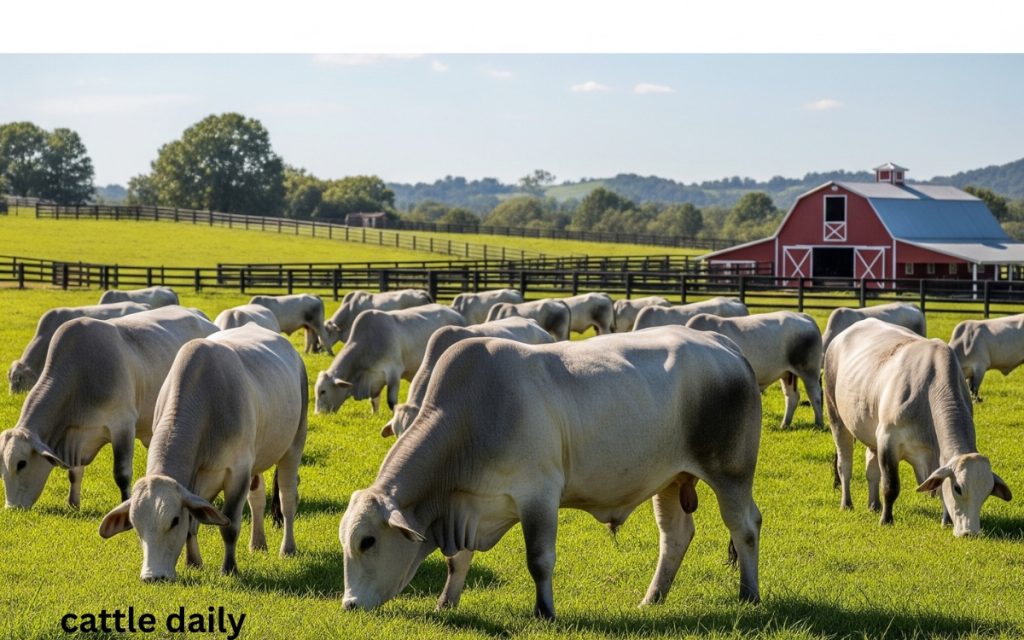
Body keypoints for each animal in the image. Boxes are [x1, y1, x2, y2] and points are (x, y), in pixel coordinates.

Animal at [98, 324, 308, 581]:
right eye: (135, 525)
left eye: (173, 520)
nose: (153, 576)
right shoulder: (197, 482)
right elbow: (193, 524)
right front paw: (193, 562)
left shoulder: (238, 472)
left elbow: (229, 525)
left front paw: (229, 568)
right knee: (257, 498)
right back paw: (258, 544)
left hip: (294, 444)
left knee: (287, 498)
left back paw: (287, 548)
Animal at [315, 304, 466, 415]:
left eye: (323, 391)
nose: (318, 415)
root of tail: (456, 313)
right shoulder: (374, 380)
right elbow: (374, 400)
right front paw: (374, 415)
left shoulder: (394, 373)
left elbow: (392, 402)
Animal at [686, 311, 824, 429]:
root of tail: (805, 316)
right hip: (787, 374)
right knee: (792, 397)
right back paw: (784, 424)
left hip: (809, 371)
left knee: (816, 396)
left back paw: (819, 423)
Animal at [824, 319, 1012, 536]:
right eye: (958, 488)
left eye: (987, 492)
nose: (969, 533)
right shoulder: (888, 440)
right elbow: (891, 486)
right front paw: (886, 520)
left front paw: (946, 521)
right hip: (836, 417)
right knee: (844, 464)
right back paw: (847, 503)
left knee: (872, 470)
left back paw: (874, 505)